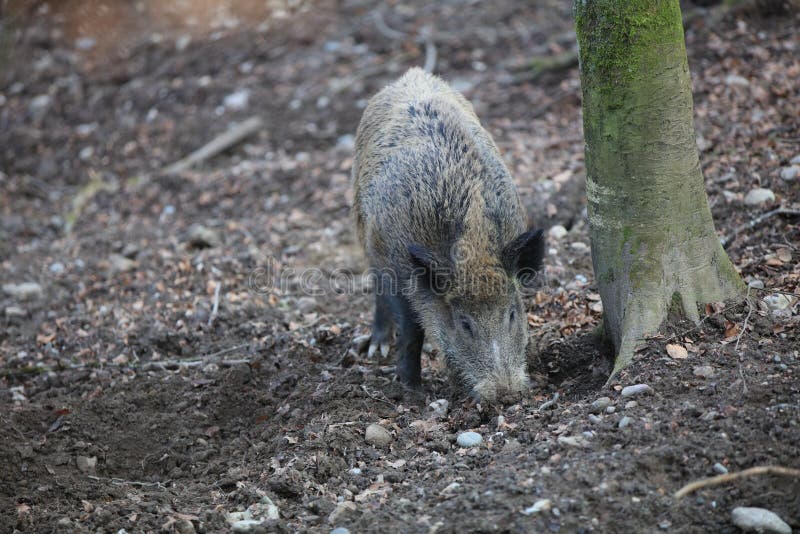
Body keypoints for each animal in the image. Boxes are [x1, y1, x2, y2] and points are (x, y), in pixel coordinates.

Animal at [352, 67, 545, 402]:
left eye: (511, 314)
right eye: (465, 324)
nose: (505, 392)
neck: (473, 246)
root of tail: (412, 74)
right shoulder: (396, 267)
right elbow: (412, 330)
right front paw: (412, 391)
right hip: (364, 228)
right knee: (377, 289)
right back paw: (376, 349)